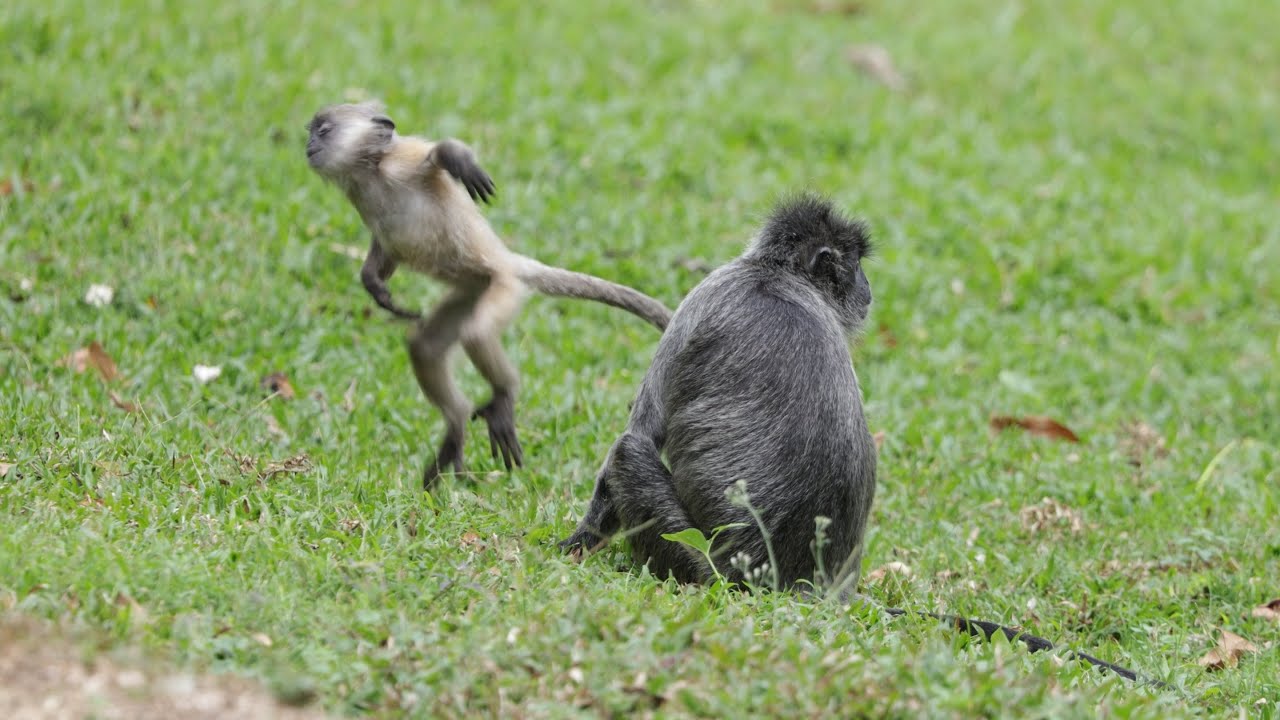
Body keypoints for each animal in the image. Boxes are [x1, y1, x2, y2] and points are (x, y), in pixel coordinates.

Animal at [305, 101, 673, 486]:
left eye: (324, 131)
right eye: (312, 131)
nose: (309, 146)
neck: (371, 174)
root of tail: (507, 260)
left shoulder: (401, 163)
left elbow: (432, 156)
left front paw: (457, 158)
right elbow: (384, 252)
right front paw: (374, 284)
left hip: (502, 284)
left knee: (478, 333)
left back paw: (503, 396)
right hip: (472, 289)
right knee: (425, 346)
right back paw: (455, 425)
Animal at [559, 194, 1163, 687]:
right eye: (858, 268)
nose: (870, 289)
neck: (775, 274)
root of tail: (799, 587)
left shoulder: (708, 293)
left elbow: (641, 430)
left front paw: (574, 547)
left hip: (700, 566)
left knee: (629, 454)